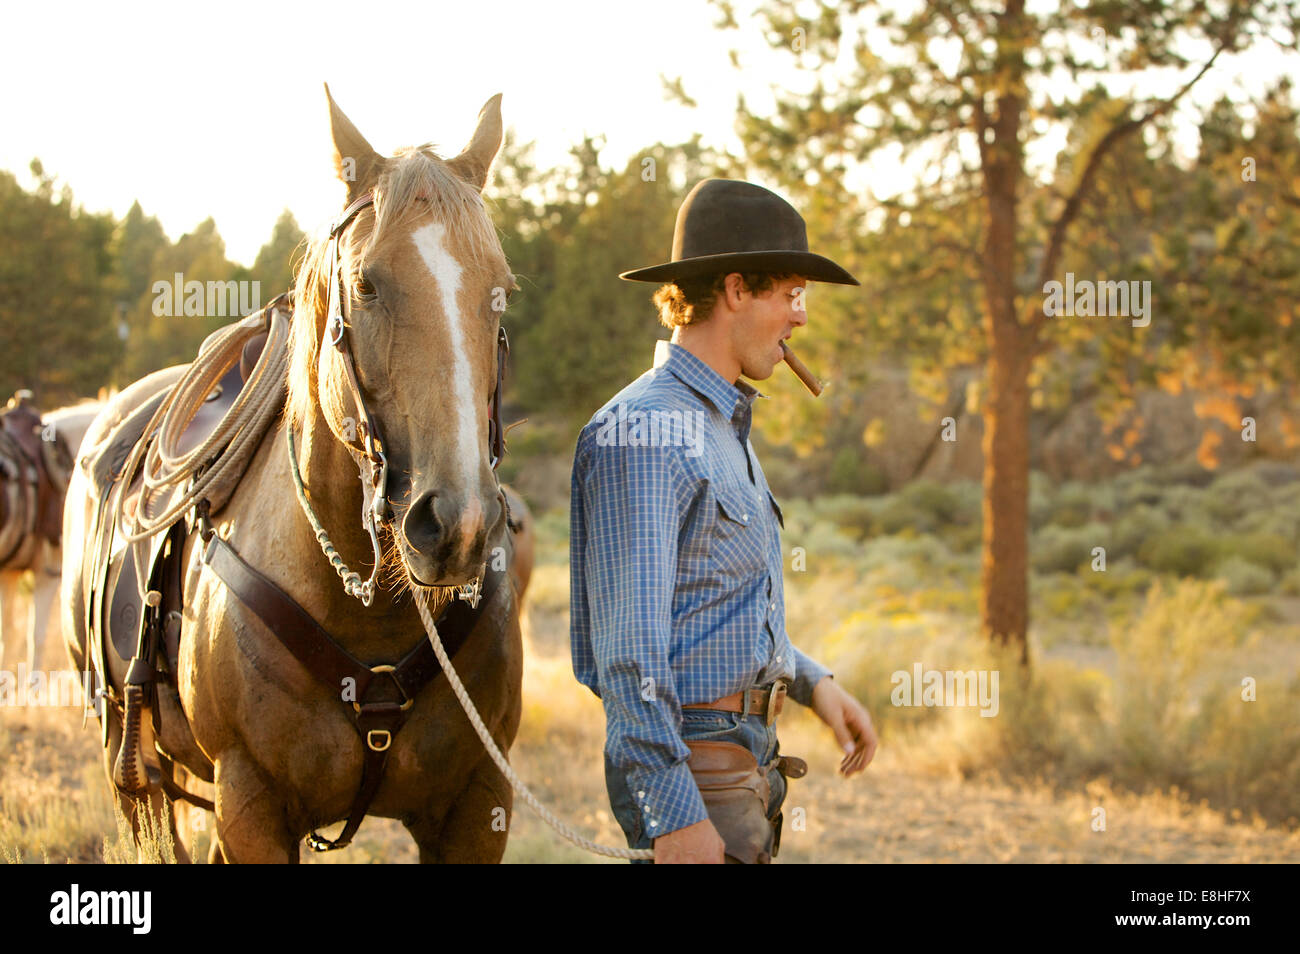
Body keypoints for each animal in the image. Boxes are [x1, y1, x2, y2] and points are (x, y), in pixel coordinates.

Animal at [63, 87, 530, 863]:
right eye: (366, 285)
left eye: (500, 291)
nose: (457, 525)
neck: (369, 613)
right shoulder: (249, 804)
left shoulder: (477, 802)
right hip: (135, 770)